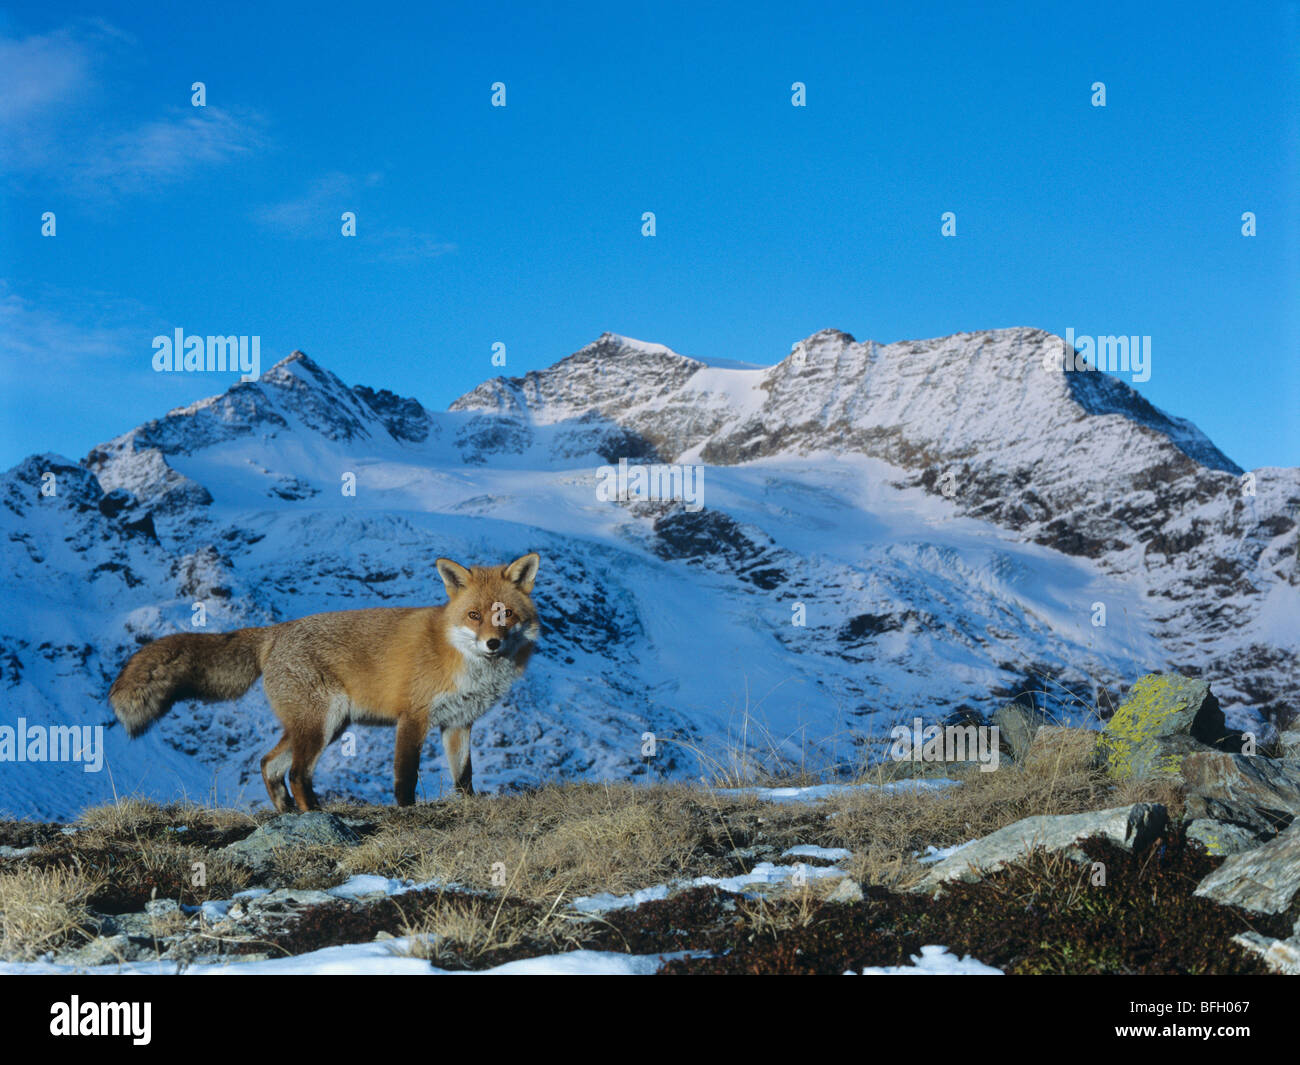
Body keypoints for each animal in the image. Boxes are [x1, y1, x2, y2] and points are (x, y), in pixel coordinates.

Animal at [108, 553, 541, 812]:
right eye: (473, 615)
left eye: (505, 615)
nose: (492, 643)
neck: (461, 658)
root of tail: (275, 632)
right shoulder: (413, 717)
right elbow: (406, 776)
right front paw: (406, 813)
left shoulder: (458, 723)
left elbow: (463, 777)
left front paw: (469, 806)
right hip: (322, 723)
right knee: (297, 773)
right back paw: (314, 813)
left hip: (324, 726)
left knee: (268, 764)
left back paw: (287, 814)